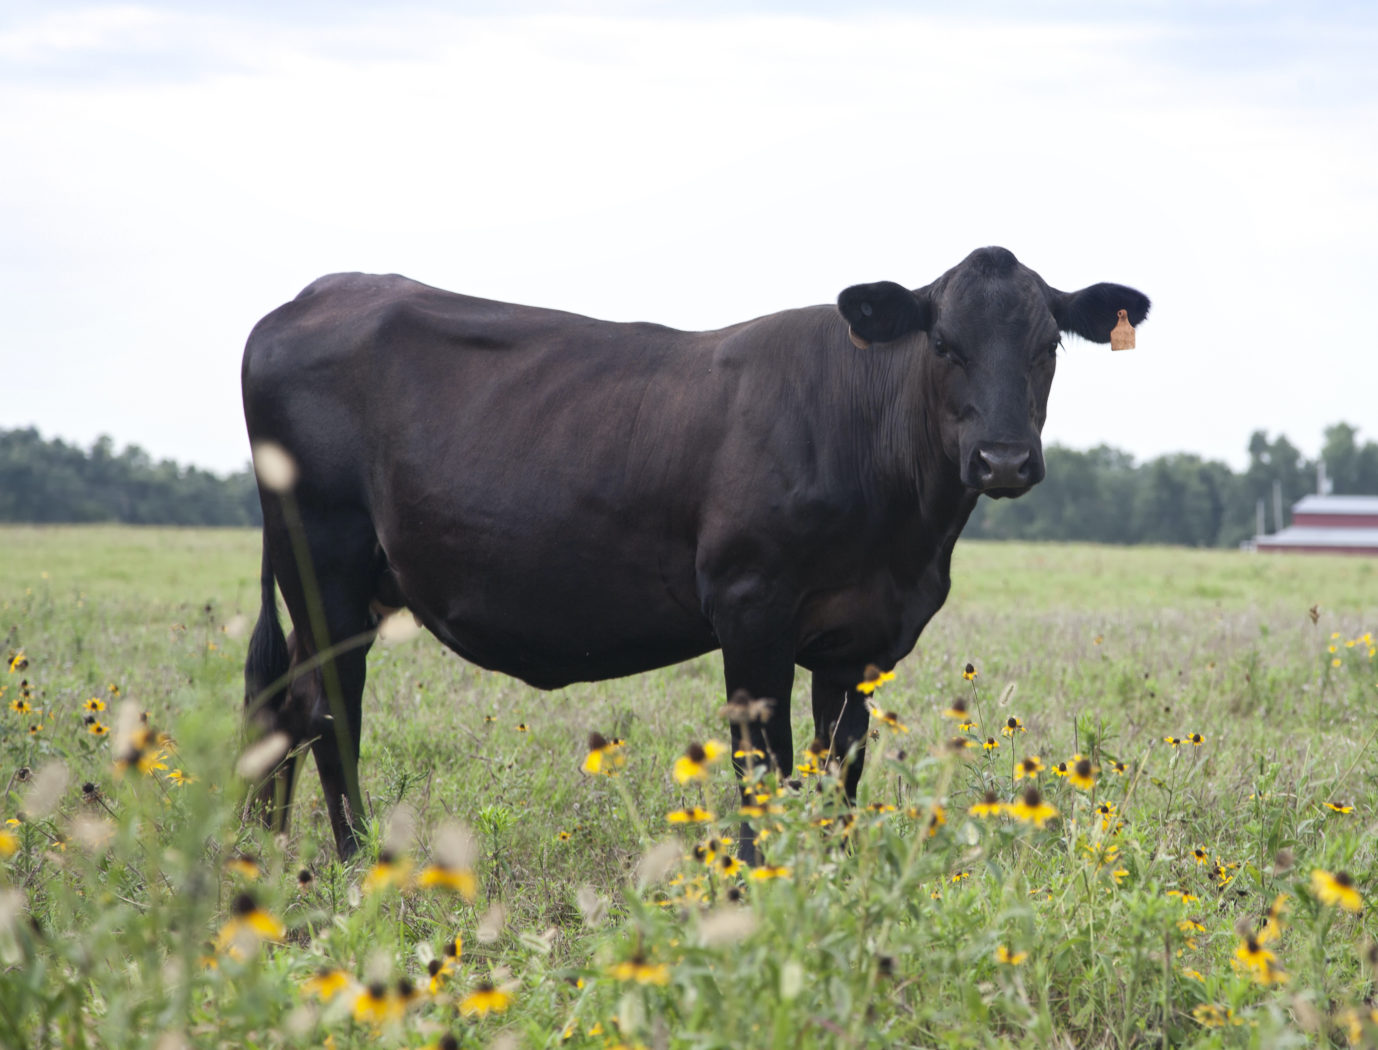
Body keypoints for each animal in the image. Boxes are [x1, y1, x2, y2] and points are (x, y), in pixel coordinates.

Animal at [241, 246, 1149, 861]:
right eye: (944, 345)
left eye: (1047, 347)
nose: (1004, 460)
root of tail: (316, 293)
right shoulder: (752, 608)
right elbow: (763, 769)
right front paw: (760, 884)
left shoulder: (859, 640)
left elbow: (839, 768)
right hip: (324, 564)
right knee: (331, 711)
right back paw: (356, 864)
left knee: (284, 705)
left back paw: (267, 856)